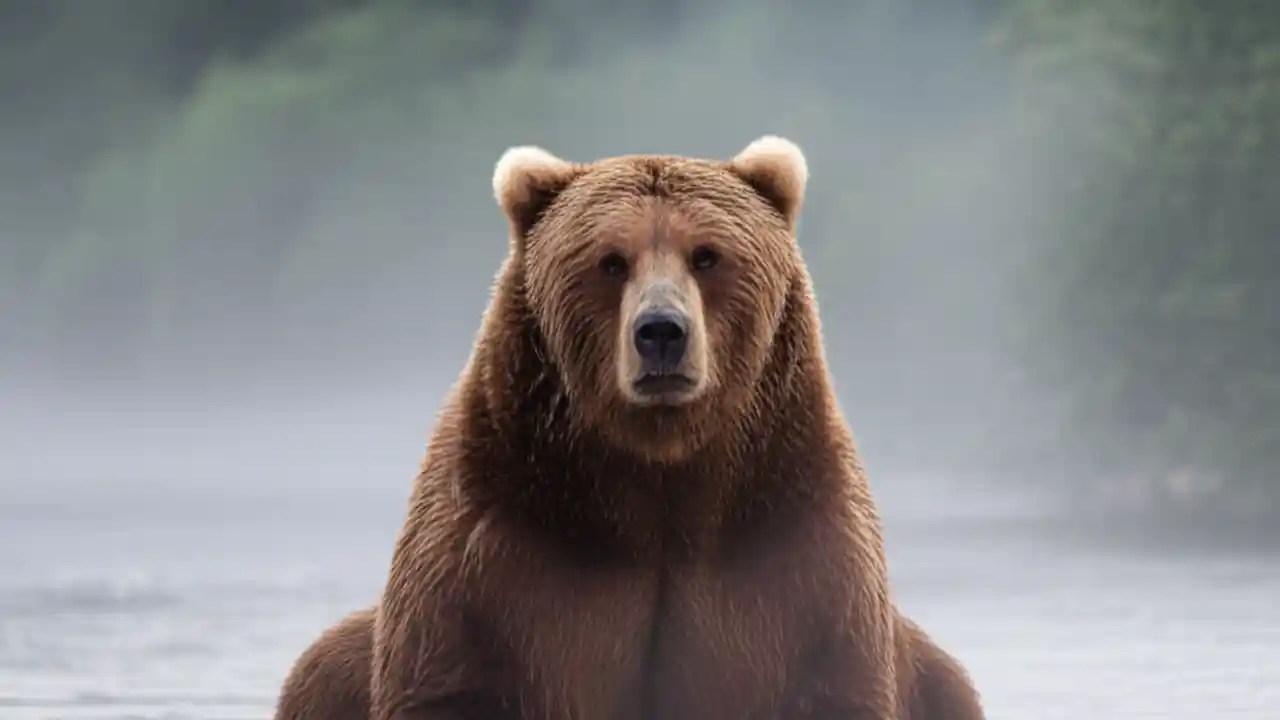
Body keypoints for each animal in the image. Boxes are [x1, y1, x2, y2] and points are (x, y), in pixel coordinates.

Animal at [273, 136, 985, 720]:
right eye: (610, 260)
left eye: (707, 255)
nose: (661, 332)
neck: (659, 472)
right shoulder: (493, 549)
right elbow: (451, 676)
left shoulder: (795, 552)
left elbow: (830, 673)